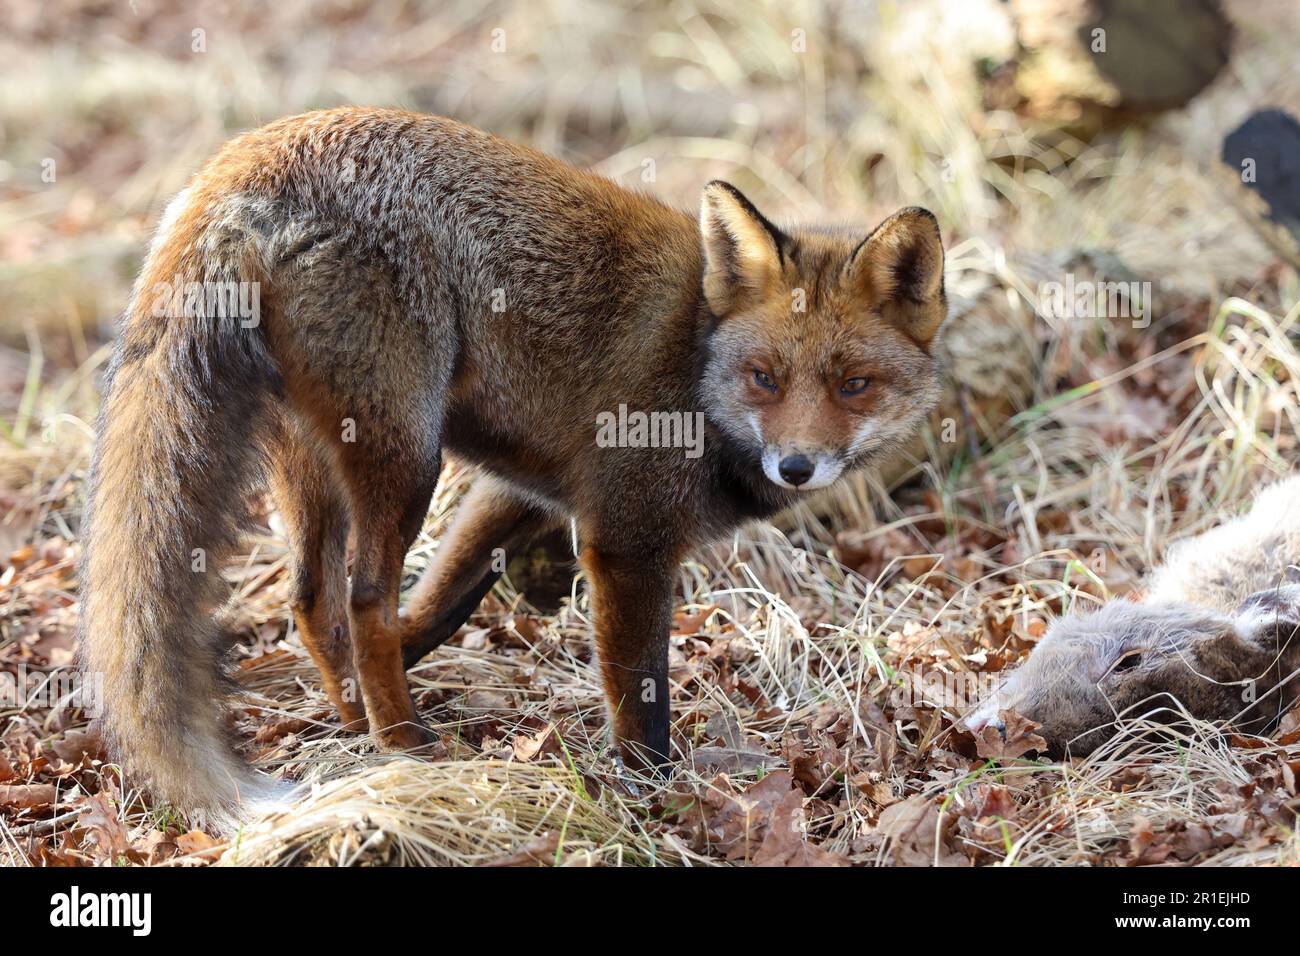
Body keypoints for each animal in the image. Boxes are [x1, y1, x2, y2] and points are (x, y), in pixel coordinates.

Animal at [79, 107, 949, 827]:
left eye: (853, 384)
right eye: (765, 378)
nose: (797, 466)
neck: (696, 365)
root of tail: (246, 157)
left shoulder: (523, 493)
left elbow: (439, 608)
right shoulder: (625, 539)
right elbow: (642, 700)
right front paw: (651, 797)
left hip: (321, 463)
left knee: (312, 600)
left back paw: (361, 724)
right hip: (408, 457)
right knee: (363, 598)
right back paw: (405, 744)